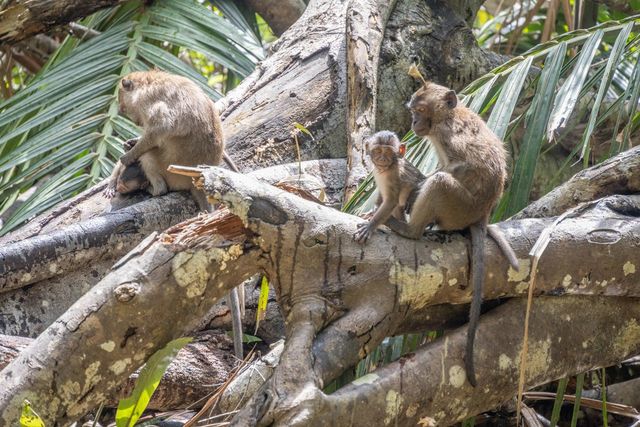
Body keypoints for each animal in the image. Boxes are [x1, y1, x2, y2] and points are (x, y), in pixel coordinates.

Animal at [385, 81, 520, 387]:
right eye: (413, 110)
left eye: (422, 110)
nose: (414, 122)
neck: (447, 116)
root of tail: (481, 216)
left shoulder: (448, 135)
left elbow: (463, 166)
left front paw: (416, 187)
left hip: (459, 205)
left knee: (441, 182)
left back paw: (411, 229)